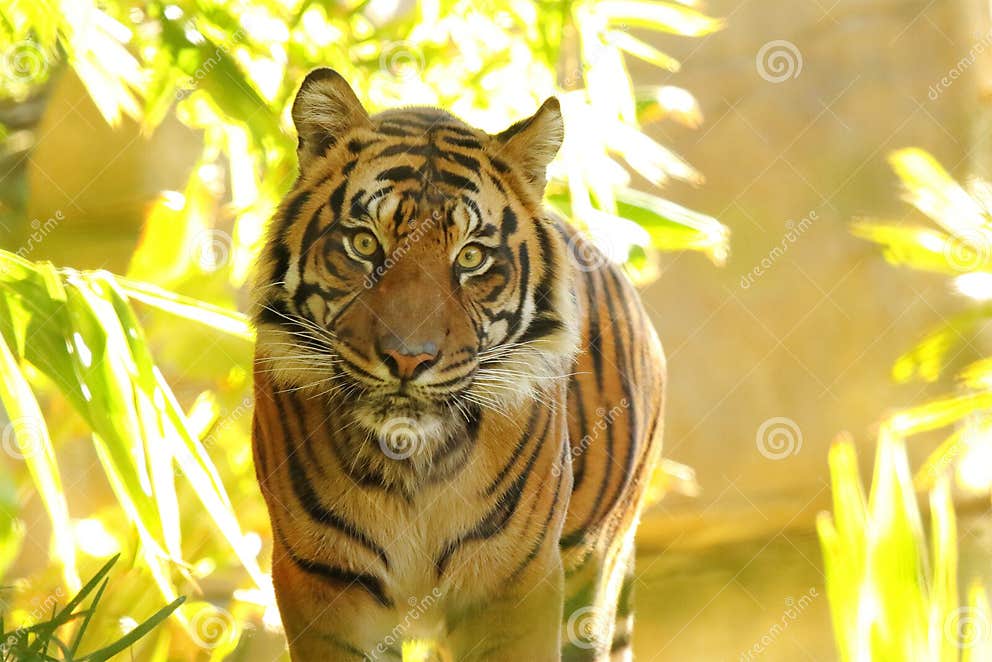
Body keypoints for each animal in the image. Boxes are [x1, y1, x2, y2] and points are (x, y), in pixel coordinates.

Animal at [250, 68, 666, 661]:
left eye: (470, 257)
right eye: (364, 244)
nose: (408, 357)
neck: (411, 468)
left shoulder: (516, 583)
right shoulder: (321, 582)